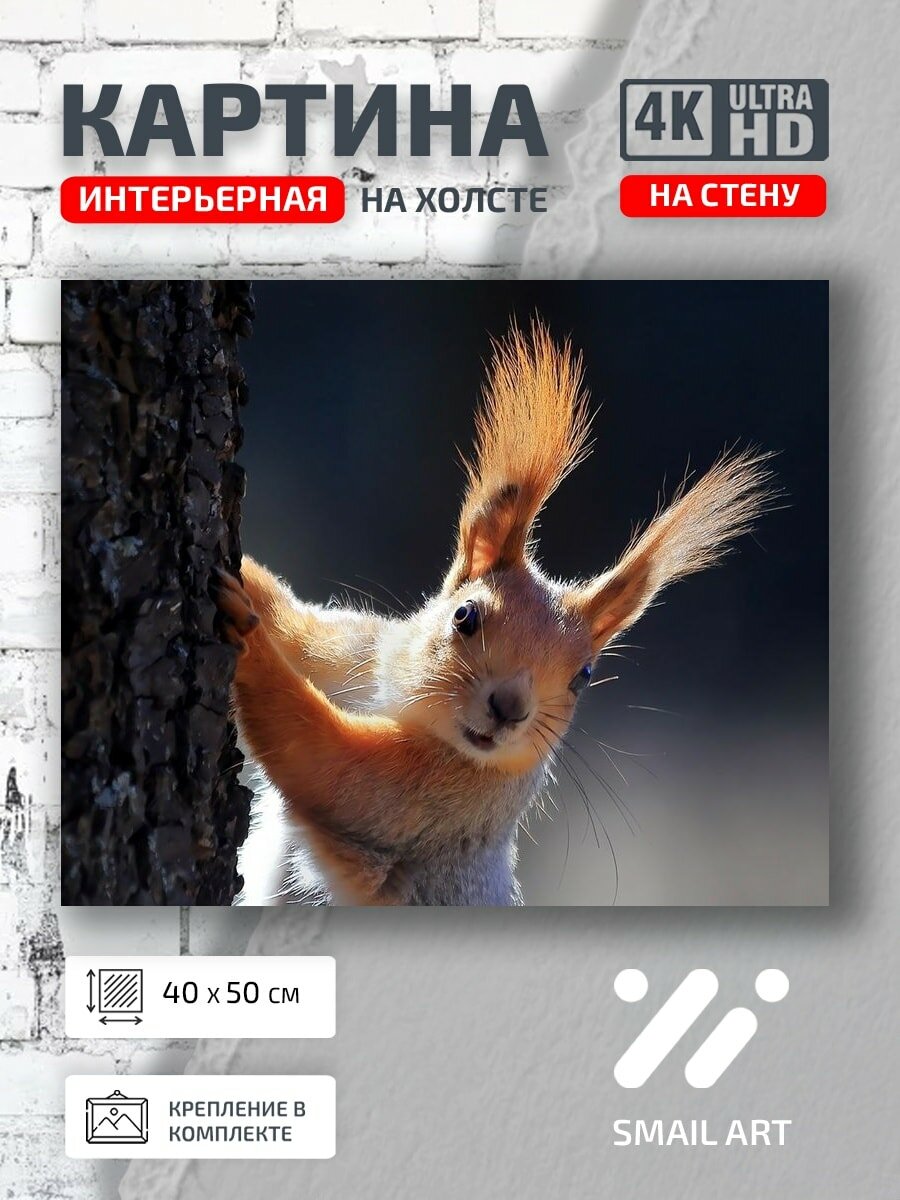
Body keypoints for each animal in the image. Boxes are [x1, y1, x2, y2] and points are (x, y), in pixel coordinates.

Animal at [212, 319, 773, 906]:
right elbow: (294, 623)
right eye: (465, 616)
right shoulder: (360, 650)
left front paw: (246, 637)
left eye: (584, 676)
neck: (400, 700)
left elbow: (324, 760)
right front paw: (247, 583)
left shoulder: (444, 800)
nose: (510, 709)